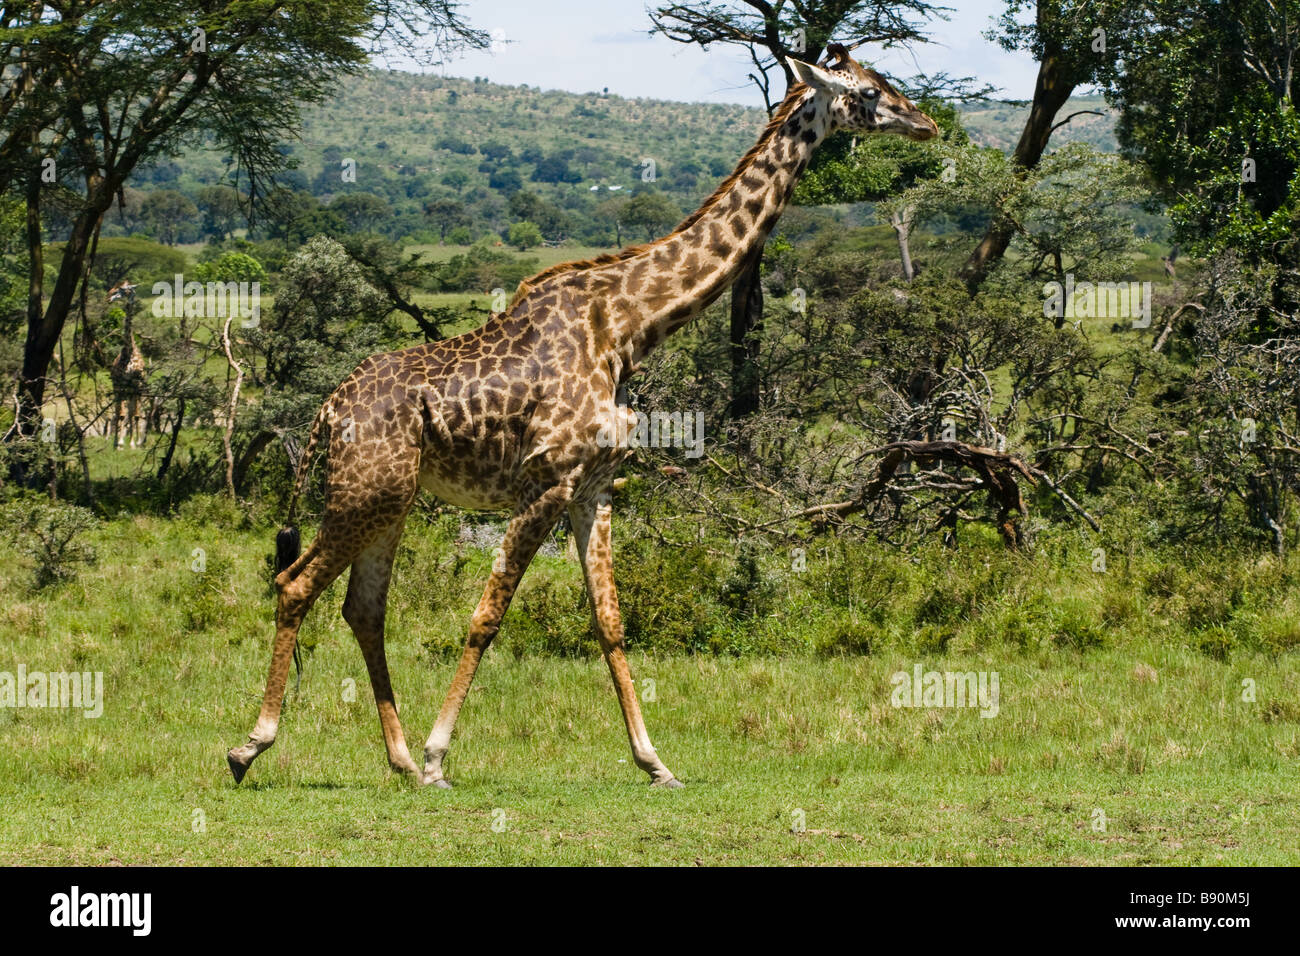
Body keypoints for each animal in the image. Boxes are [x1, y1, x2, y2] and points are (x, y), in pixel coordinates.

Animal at [227, 45, 938, 788]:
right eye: (868, 91)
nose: (928, 124)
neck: (626, 326)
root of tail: (327, 410)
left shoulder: (594, 487)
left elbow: (610, 620)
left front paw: (655, 761)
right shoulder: (549, 480)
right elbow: (487, 615)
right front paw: (439, 755)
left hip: (390, 499)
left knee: (361, 607)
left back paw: (393, 760)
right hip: (363, 493)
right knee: (294, 585)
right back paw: (253, 746)